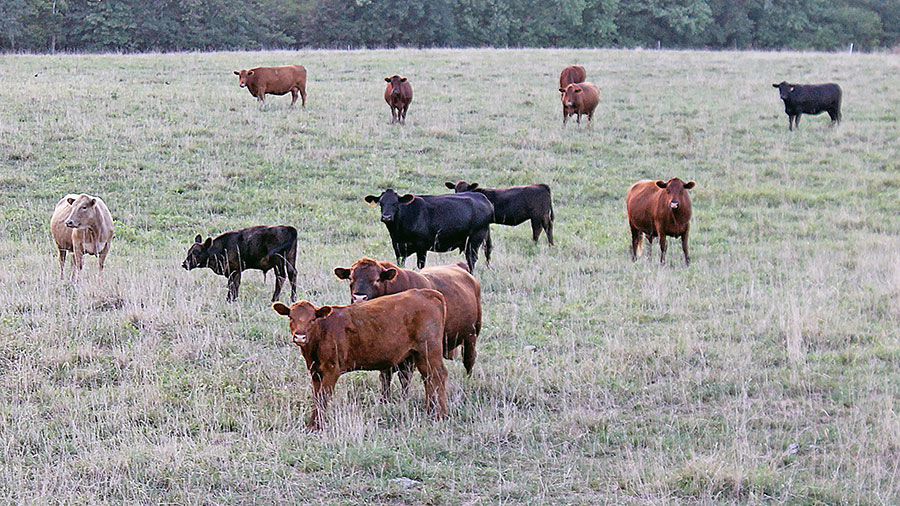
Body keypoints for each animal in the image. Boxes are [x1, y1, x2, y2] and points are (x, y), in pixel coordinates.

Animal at [272, 289, 448, 430]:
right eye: (291, 317)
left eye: (313, 319)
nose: (300, 336)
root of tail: (427, 293)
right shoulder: (315, 372)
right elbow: (316, 397)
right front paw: (312, 425)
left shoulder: (331, 369)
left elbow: (323, 397)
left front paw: (316, 427)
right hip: (419, 354)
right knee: (428, 378)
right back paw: (430, 411)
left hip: (429, 350)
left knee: (438, 375)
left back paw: (440, 415)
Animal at [334, 258, 481, 398]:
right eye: (351, 278)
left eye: (377, 279)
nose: (359, 298)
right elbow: (385, 376)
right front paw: (385, 399)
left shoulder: (410, 354)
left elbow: (404, 376)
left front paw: (403, 398)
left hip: (471, 335)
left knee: (469, 360)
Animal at [363, 189, 494, 273]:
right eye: (381, 203)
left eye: (395, 203)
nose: (386, 217)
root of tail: (482, 197)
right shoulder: (398, 247)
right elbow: (400, 264)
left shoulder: (421, 247)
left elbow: (421, 265)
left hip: (475, 239)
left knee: (472, 259)